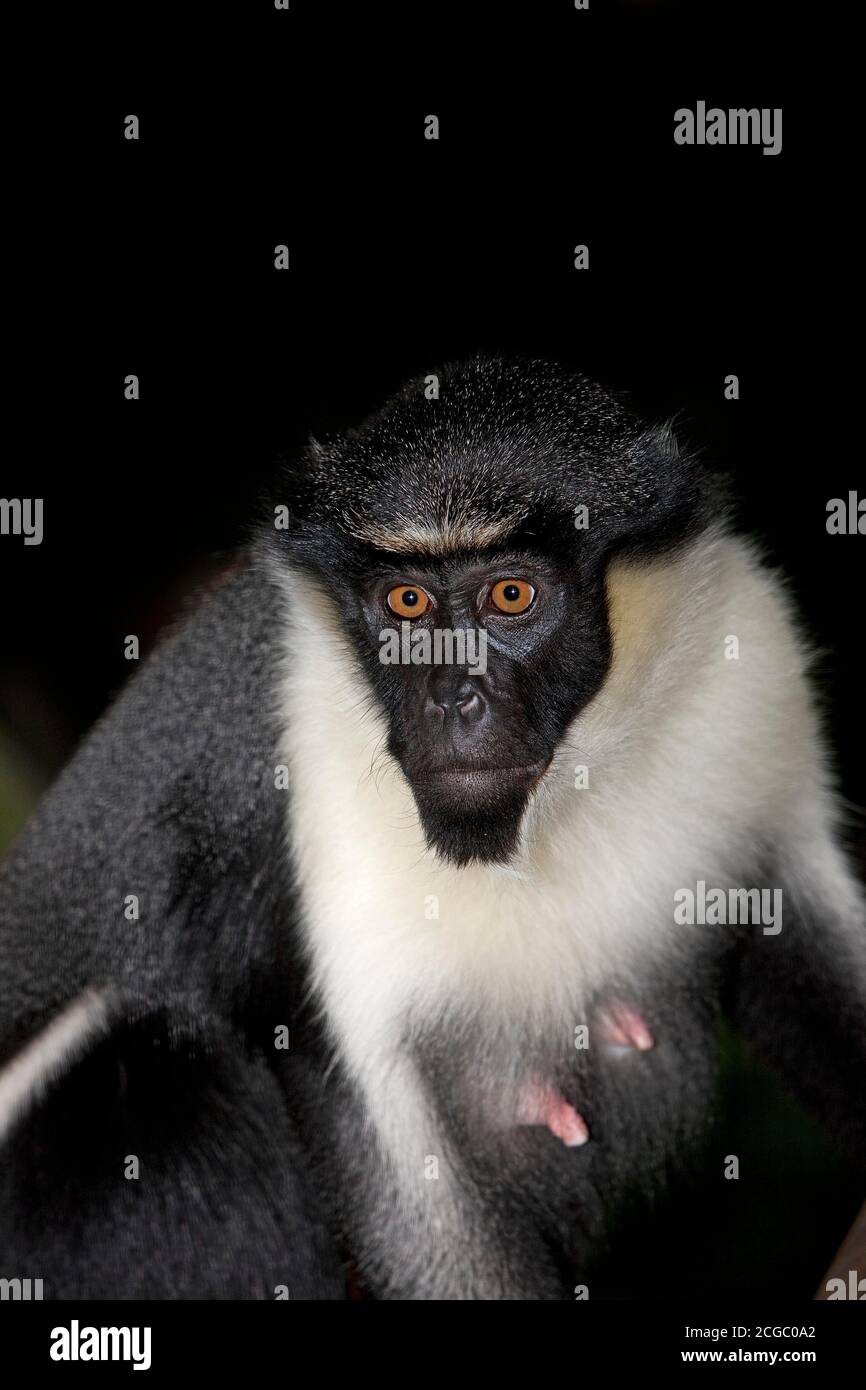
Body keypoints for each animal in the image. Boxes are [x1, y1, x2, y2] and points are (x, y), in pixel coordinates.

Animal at [0, 355, 864, 1299]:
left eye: (510, 594)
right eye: (407, 603)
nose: (451, 699)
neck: (563, 802)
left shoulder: (750, 664)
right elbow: (422, 1216)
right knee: (149, 1060)